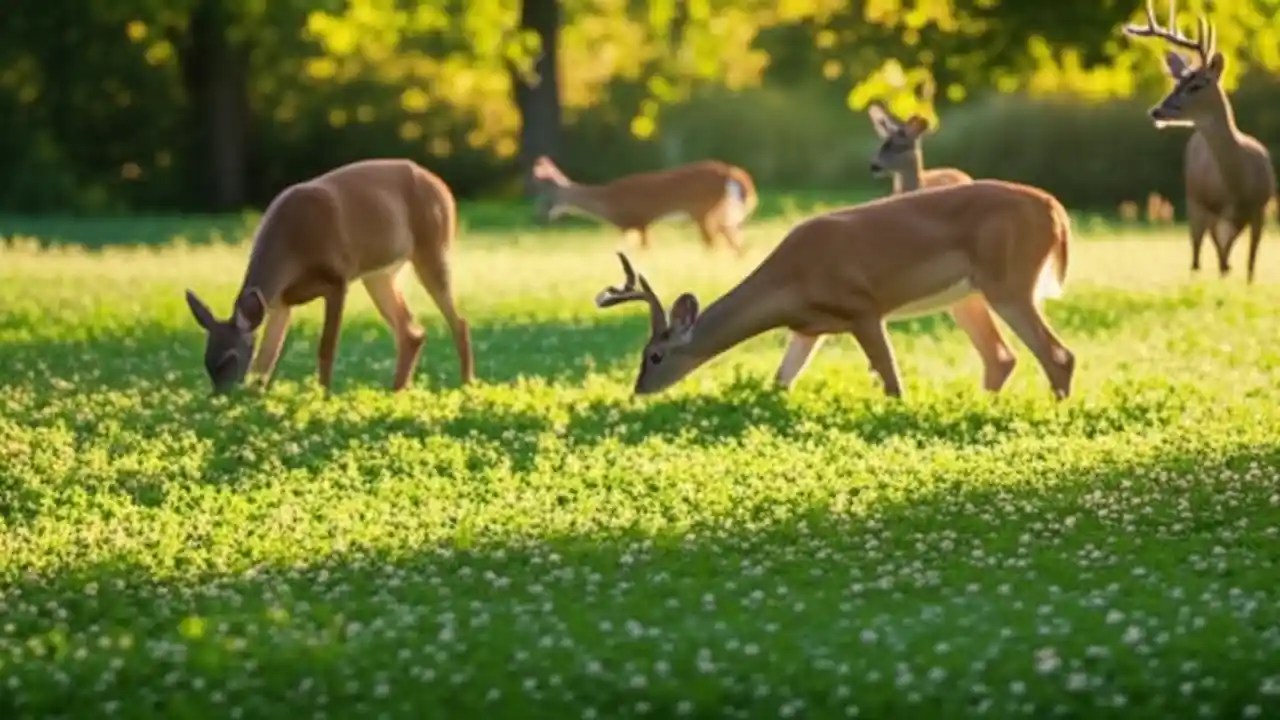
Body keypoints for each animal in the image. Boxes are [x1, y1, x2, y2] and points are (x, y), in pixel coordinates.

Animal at [183, 158, 475, 395]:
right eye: (207, 361)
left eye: (229, 359)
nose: (219, 396)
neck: (293, 248)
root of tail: (442, 187)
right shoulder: (280, 302)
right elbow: (267, 356)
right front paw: (256, 397)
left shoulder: (338, 279)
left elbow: (326, 347)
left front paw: (324, 396)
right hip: (380, 274)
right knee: (411, 332)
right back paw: (397, 391)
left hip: (432, 247)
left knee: (458, 322)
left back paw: (466, 385)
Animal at [531, 156, 758, 256]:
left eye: (545, 196)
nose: (539, 215)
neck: (607, 202)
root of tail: (733, 173)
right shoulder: (637, 225)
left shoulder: (637, 220)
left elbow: (643, 250)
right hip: (726, 214)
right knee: (737, 245)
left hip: (705, 210)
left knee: (714, 244)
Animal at [595, 179, 1076, 400]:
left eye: (655, 355)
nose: (639, 389)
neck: (791, 280)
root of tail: (1056, 209)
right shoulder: (809, 329)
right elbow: (780, 381)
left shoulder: (864, 307)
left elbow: (892, 382)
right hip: (968, 297)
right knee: (1003, 358)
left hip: (1009, 281)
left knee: (1057, 356)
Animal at [1123, 0, 1277, 283]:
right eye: (1176, 83)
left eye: (1197, 85)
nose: (1156, 111)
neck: (1238, 185)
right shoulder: (1215, 211)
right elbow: (1223, 261)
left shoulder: (1260, 210)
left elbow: (1250, 267)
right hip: (1195, 203)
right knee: (1198, 257)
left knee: (1220, 258)